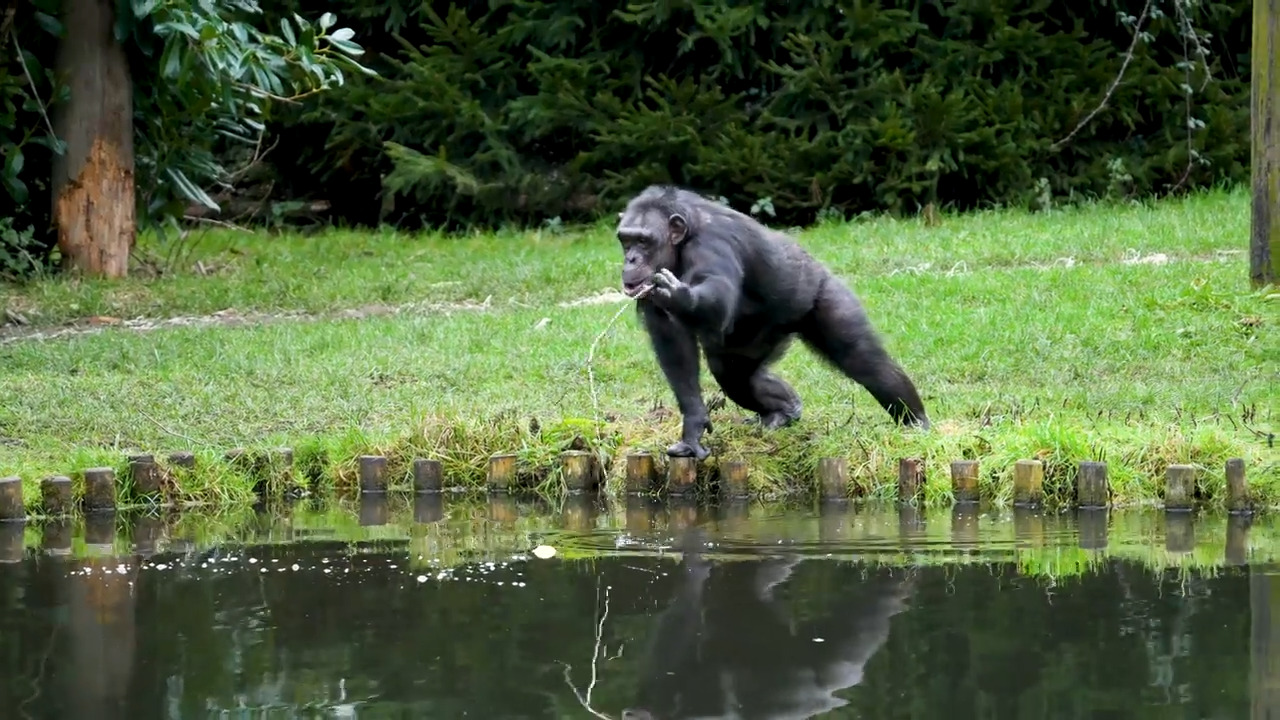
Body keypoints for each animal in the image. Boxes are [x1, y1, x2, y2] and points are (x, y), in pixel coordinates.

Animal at [615, 185, 931, 460]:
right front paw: (694, 423)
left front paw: (680, 295)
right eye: (625, 240)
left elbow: (716, 295)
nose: (630, 259)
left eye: (644, 241)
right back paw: (784, 410)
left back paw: (915, 422)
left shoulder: (711, 244)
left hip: (821, 291)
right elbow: (671, 338)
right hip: (749, 343)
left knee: (862, 358)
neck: (682, 241)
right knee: (735, 376)